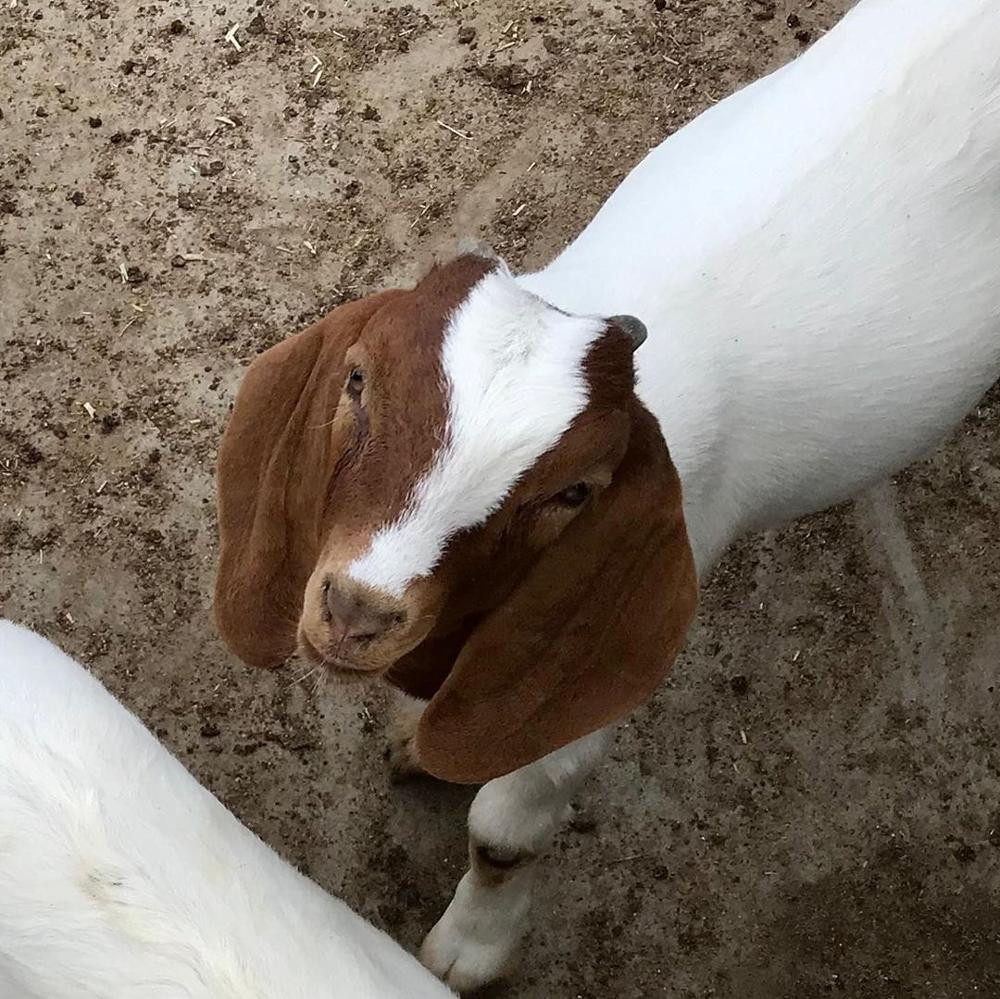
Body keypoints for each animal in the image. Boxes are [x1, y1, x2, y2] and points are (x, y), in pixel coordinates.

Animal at [214, 0, 1000, 991]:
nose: (357, 612)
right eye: (357, 379)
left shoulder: (602, 652)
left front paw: (468, 948)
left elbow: (505, 829)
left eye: (574, 492)